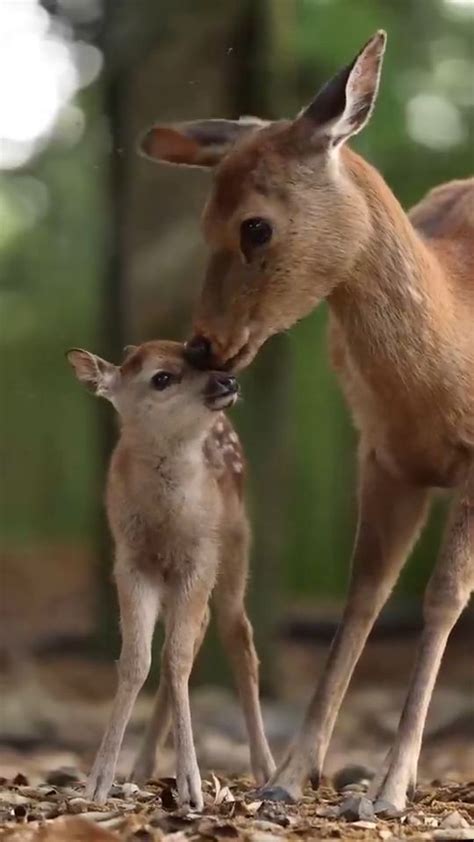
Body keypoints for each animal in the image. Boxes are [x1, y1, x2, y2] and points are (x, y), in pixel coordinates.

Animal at [67, 341, 275, 809]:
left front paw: (193, 787)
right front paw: (98, 781)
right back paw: (142, 767)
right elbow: (137, 660)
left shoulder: (200, 559)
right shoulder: (129, 562)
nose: (227, 380)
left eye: (200, 358)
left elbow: (175, 657)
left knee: (238, 635)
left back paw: (266, 768)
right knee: (197, 634)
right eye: (162, 377)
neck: (165, 522)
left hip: (235, 545)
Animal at [139, 31, 474, 813]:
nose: (204, 344)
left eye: (255, 226)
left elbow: (443, 596)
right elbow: (362, 597)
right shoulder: (382, 457)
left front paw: (390, 787)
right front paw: (291, 776)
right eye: (203, 222)